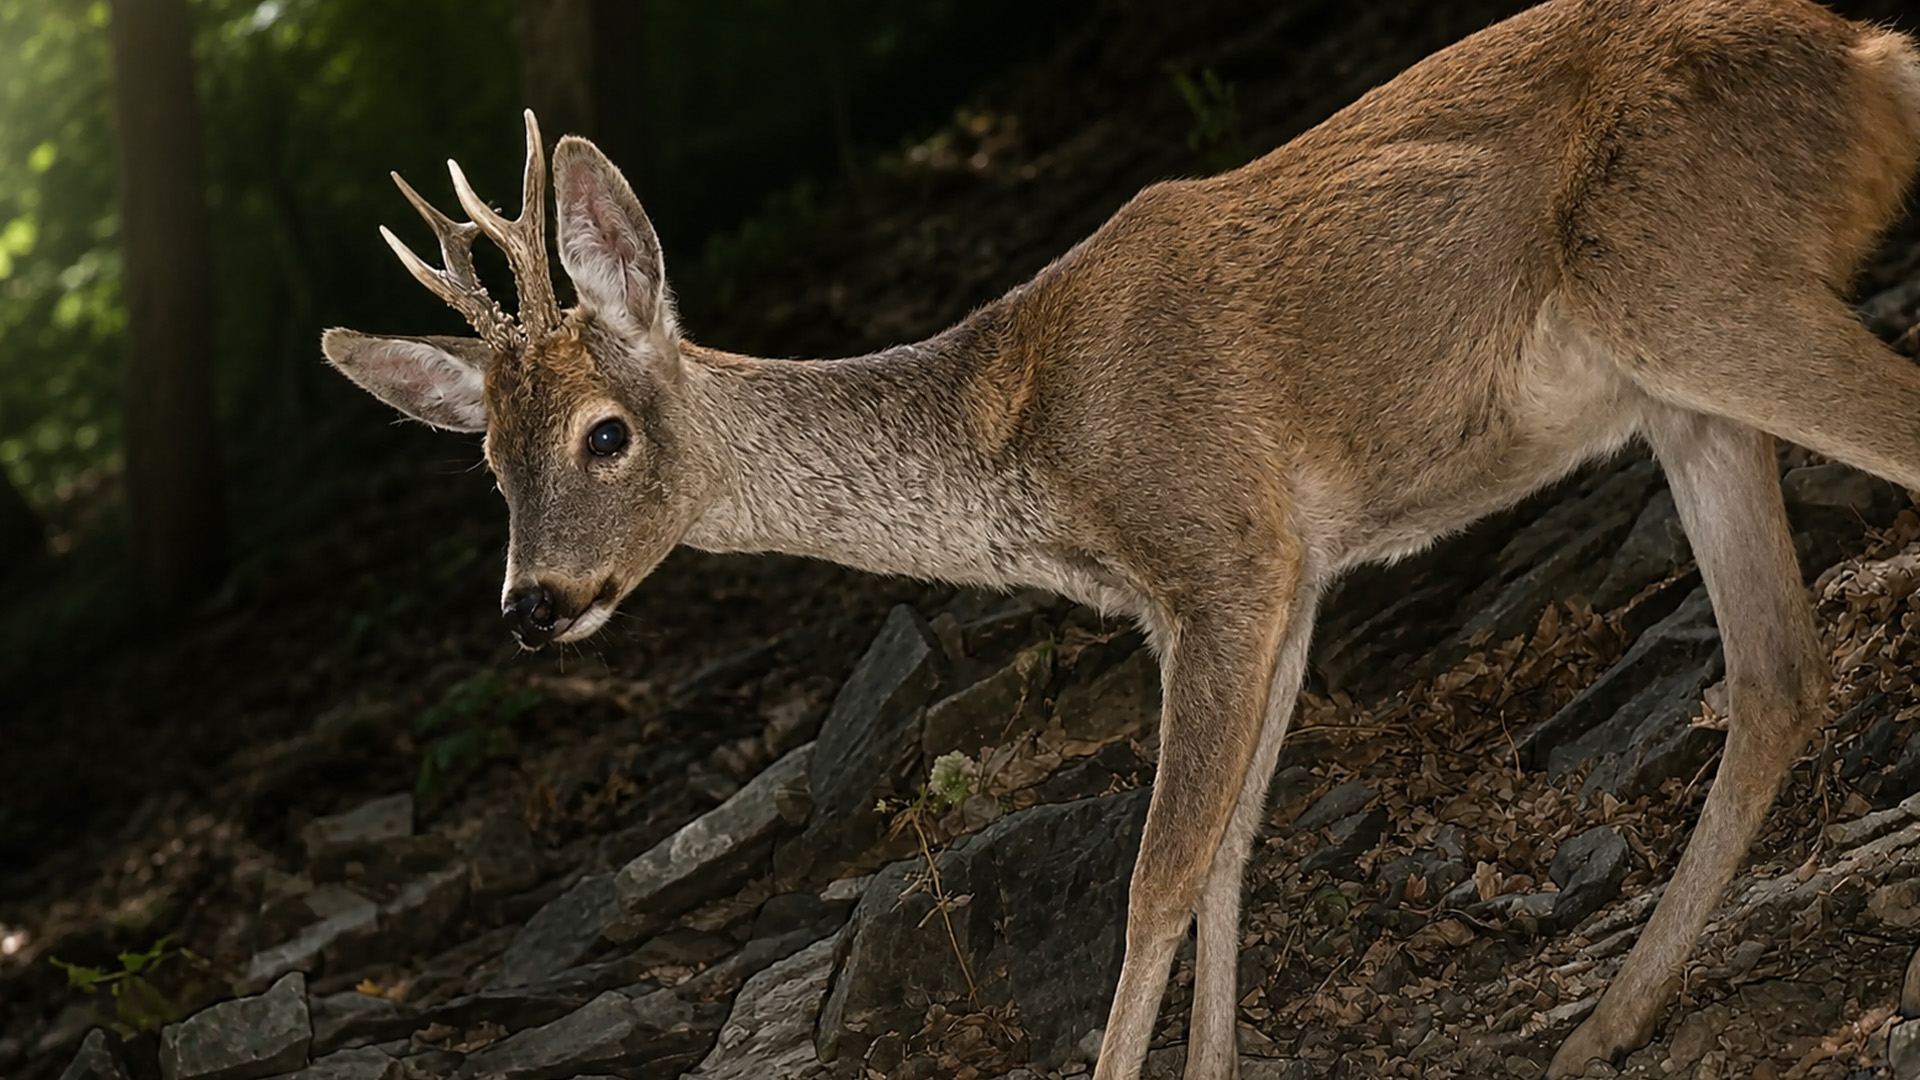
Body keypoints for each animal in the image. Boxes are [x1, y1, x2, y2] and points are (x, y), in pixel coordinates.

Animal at [321, 0, 1920, 1075]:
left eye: (607, 435)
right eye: (486, 461)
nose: (533, 604)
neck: (1030, 455)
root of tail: (1868, 55)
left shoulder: (1217, 545)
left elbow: (1153, 875)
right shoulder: (1279, 579)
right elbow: (1228, 849)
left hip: (1696, 275)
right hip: (1680, 391)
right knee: (1778, 673)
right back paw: (1603, 1027)